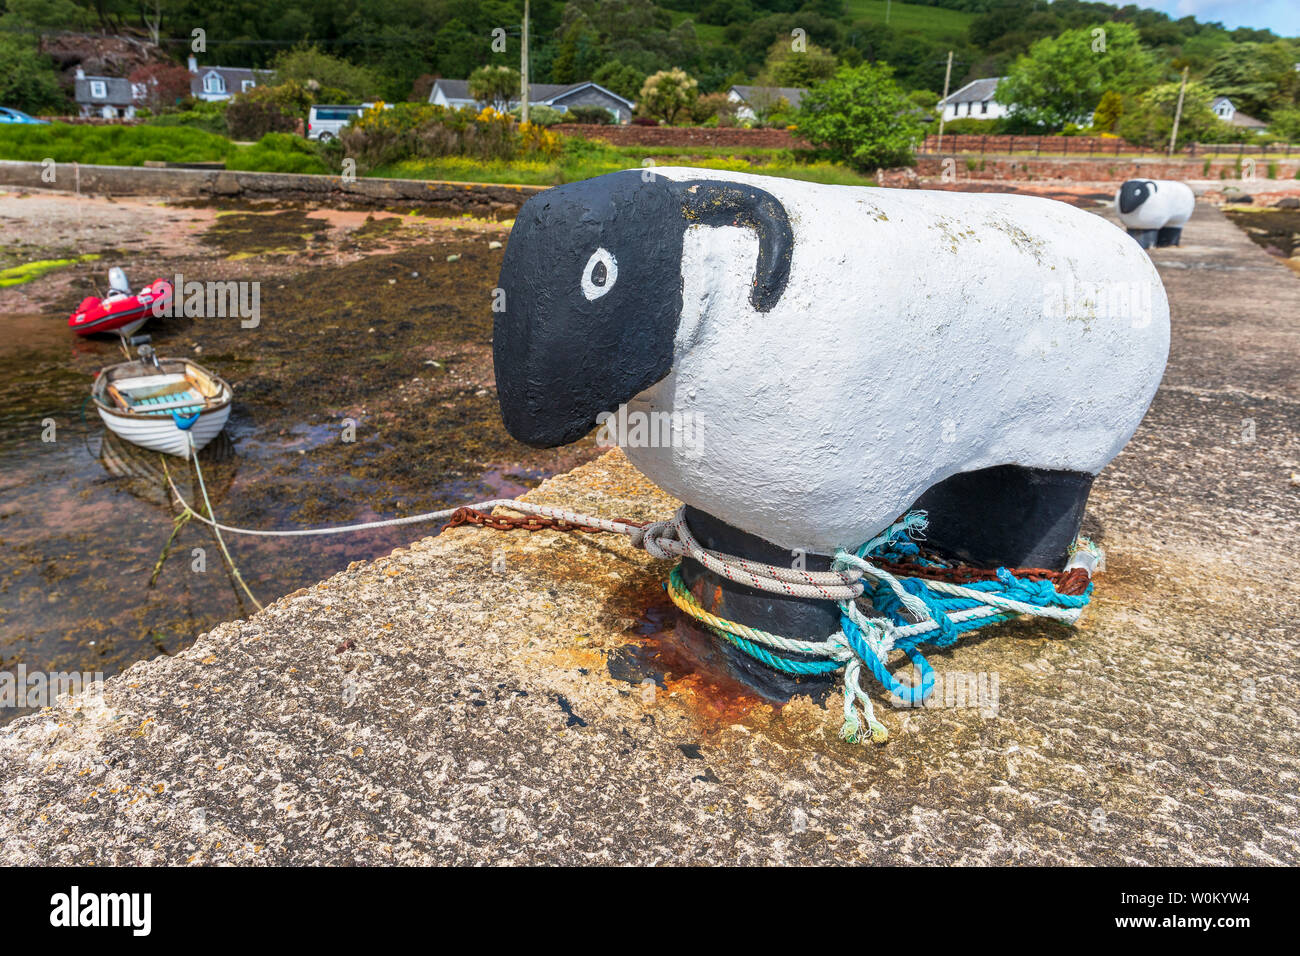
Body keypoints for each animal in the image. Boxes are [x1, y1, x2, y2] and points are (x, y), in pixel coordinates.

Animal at [494, 168, 1170, 566]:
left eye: (600, 273)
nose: (529, 417)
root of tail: (1132, 252)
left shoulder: (817, 498)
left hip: (1071, 440)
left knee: (1041, 500)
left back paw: (1022, 569)